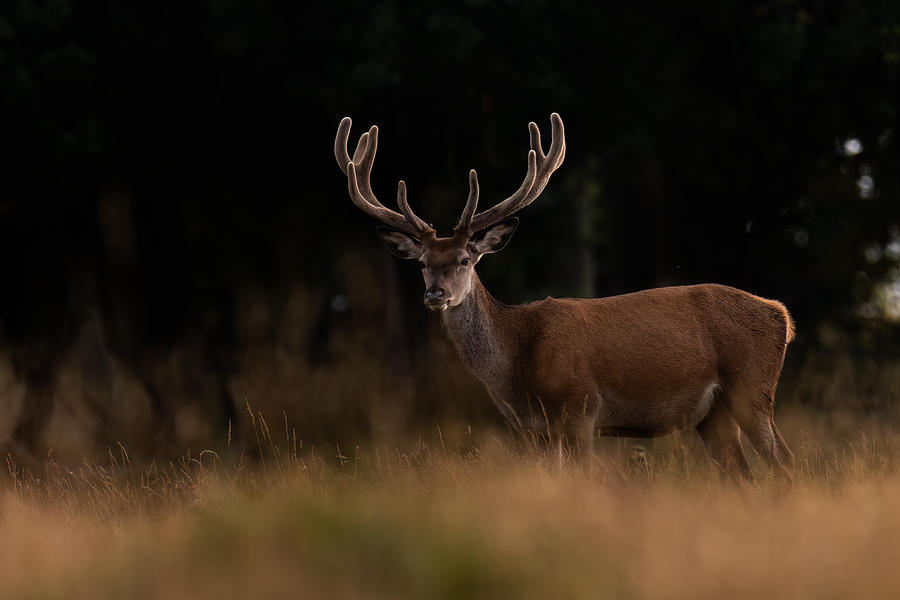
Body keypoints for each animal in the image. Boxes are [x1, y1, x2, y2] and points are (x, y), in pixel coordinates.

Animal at [334, 113, 795, 482]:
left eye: (465, 259)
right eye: (423, 263)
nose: (435, 294)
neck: (517, 362)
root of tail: (782, 316)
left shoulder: (580, 407)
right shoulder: (533, 430)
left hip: (753, 388)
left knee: (784, 461)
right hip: (714, 414)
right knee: (742, 474)